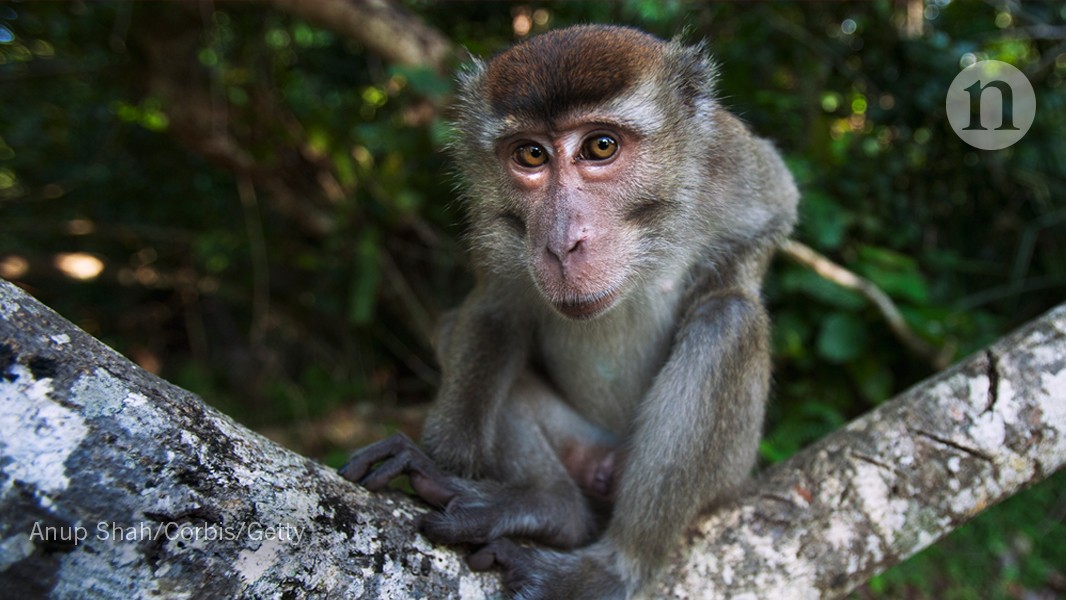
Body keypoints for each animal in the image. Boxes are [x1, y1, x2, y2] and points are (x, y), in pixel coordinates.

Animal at [340, 25, 799, 599]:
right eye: (531, 155)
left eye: (601, 146)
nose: (561, 244)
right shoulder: (498, 228)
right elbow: (498, 310)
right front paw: (446, 462)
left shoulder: (726, 159)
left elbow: (774, 214)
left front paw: (721, 274)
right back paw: (548, 505)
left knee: (727, 321)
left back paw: (612, 567)